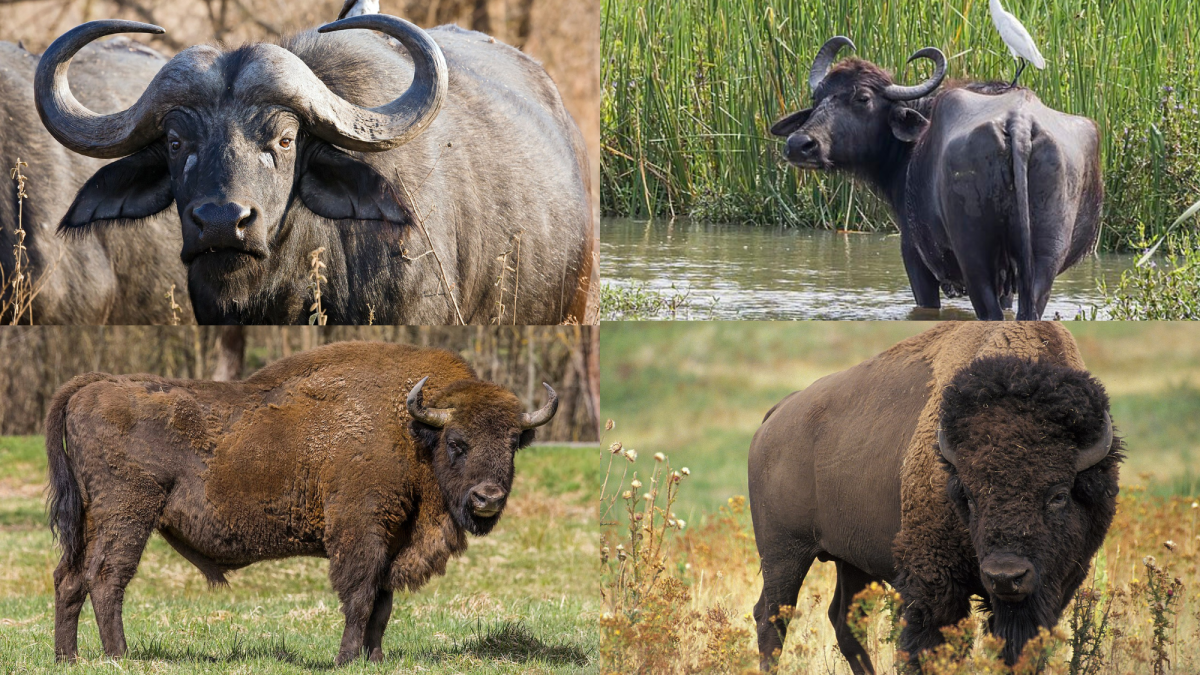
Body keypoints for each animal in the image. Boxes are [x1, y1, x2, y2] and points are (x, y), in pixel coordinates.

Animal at [46, 341, 558, 664]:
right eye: (457, 442)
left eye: (514, 442)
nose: (488, 498)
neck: (411, 431)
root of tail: (94, 386)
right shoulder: (361, 532)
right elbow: (360, 597)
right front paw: (346, 659)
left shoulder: (392, 541)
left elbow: (383, 605)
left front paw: (376, 658)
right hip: (128, 515)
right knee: (106, 578)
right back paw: (119, 655)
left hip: (91, 519)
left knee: (70, 578)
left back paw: (68, 657)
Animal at [749, 322, 1121, 672]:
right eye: (968, 496)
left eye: (1059, 495)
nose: (1005, 576)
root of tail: (776, 416)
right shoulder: (933, 581)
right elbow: (930, 646)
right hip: (784, 553)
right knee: (772, 618)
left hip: (850, 560)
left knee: (844, 621)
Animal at [770, 38, 1102, 320]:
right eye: (817, 97)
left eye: (862, 98)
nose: (800, 144)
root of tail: (1018, 123)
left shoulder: (914, 256)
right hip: (1044, 259)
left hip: (975, 257)